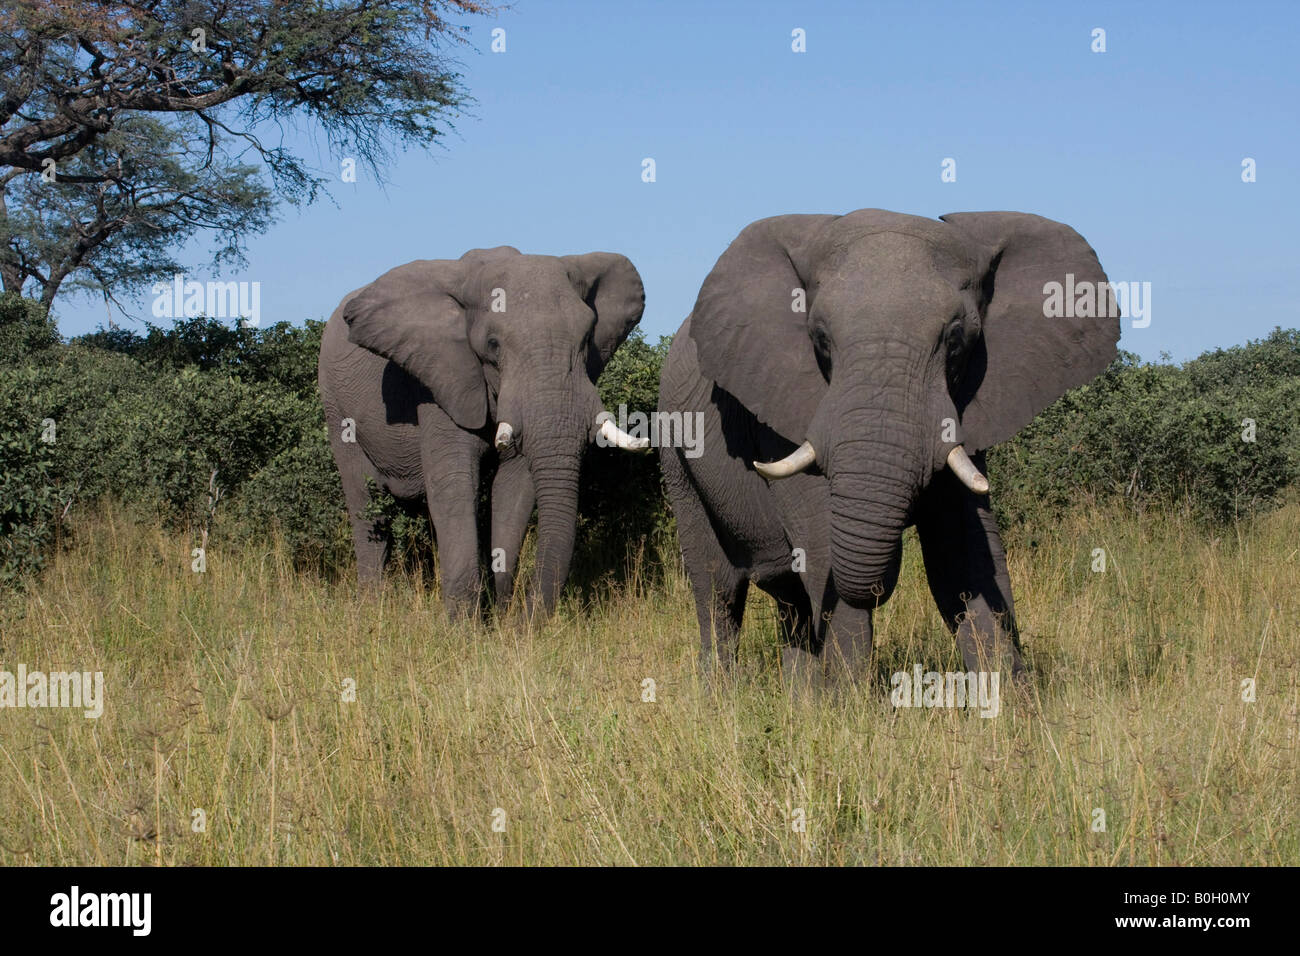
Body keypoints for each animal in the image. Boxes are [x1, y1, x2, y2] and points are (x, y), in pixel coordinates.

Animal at [319, 246, 649, 618]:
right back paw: (371, 607)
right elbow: (454, 485)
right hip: (336, 404)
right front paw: (464, 626)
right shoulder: (442, 378)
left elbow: (514, 488)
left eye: (587, 337)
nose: (524, 617)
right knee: (364, 500)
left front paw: (501, 619)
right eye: (493, 344)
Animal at [659, 209, 1119, 683]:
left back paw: (798, 698)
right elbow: (823, 546)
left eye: (956, 339)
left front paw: (1007, 699)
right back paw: (723, 693)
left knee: (790, 597)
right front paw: (850, 702)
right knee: (717, 587)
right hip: (676, 453)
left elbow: (963, 556)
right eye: (820, 339)